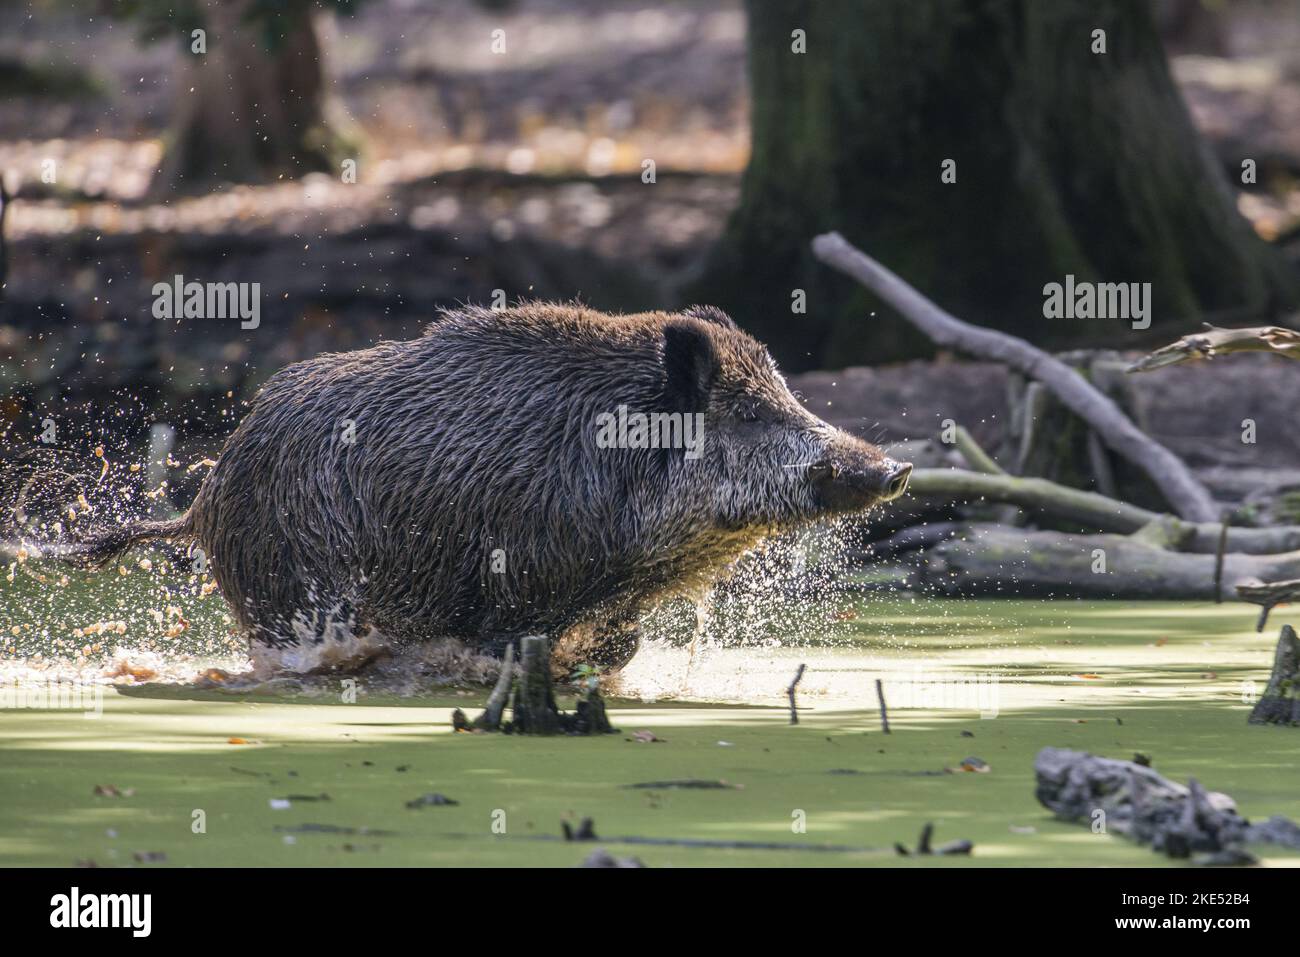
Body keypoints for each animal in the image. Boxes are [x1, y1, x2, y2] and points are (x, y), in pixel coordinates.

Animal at [69, 303, 911, 675]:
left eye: (786, 391)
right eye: (749, 411)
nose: (895, 468)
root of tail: (201, 498)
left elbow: (619, 646)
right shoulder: (521, 580)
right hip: (287, 586)